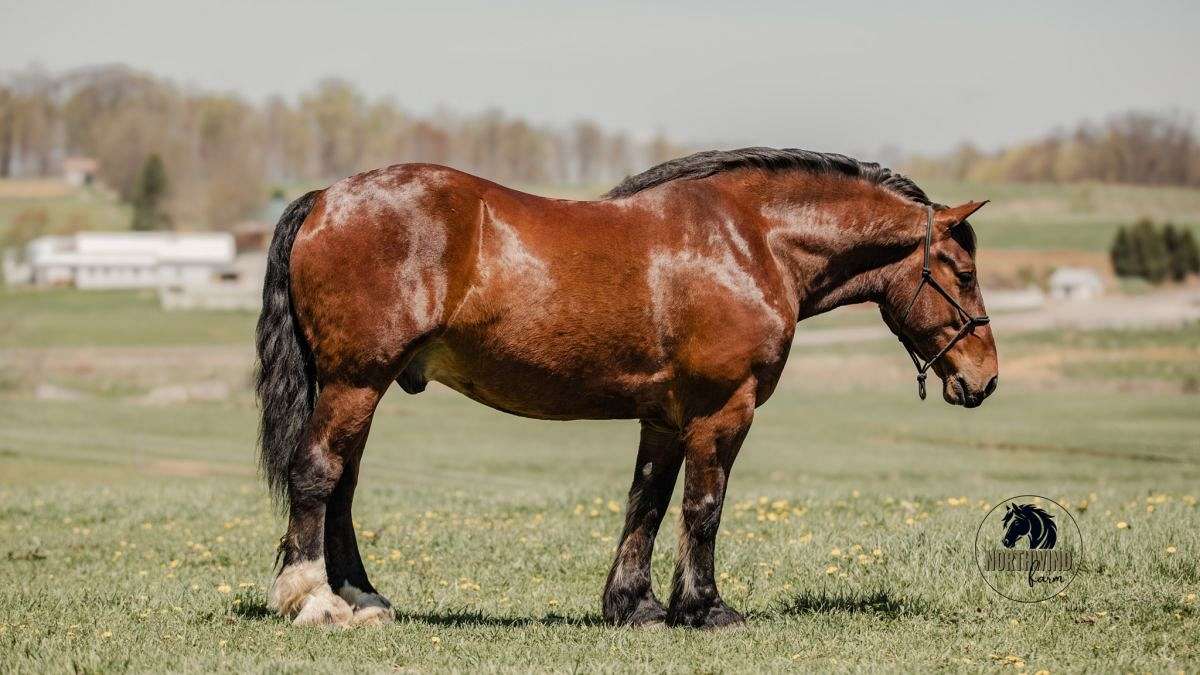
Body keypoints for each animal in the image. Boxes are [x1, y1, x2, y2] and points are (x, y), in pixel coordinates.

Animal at [255, 147, 999, 629]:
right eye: (962, 273)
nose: (985, 378)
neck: (750, 242)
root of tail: (324, 199)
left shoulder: (665, 416)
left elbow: (647, 503)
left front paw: (633, 605)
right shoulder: (723, 409)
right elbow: (703, 507)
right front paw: (705, 608)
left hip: (360, 386)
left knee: (343, 482)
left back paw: (363, 597)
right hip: (355, 381)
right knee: (318, 472)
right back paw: (314, 600)